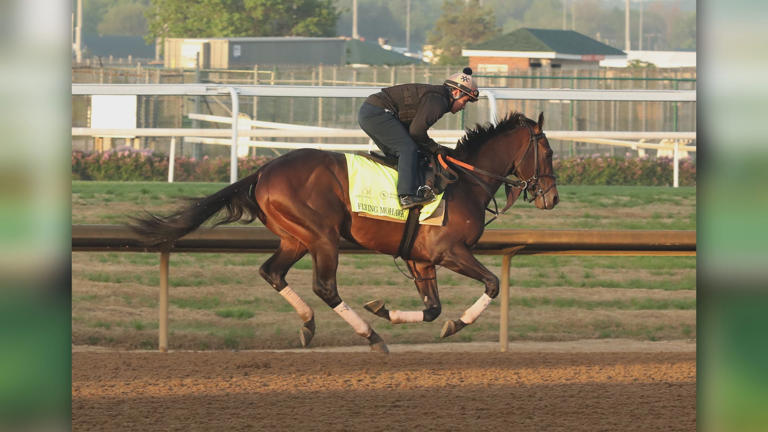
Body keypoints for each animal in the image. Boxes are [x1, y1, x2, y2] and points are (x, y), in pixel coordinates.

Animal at [130, 111, 559, 353]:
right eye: (550, 152)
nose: (552, 198)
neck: (466, 181)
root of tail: (262, 171)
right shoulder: (448, 252)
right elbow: (492, 285)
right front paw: (457, 323)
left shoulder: (420, 259)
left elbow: (432, 308)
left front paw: (385, 308)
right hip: (323, 236)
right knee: (324, 287)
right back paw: (370, 337)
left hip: (296, 237)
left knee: (272, 272)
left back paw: (309, 324)